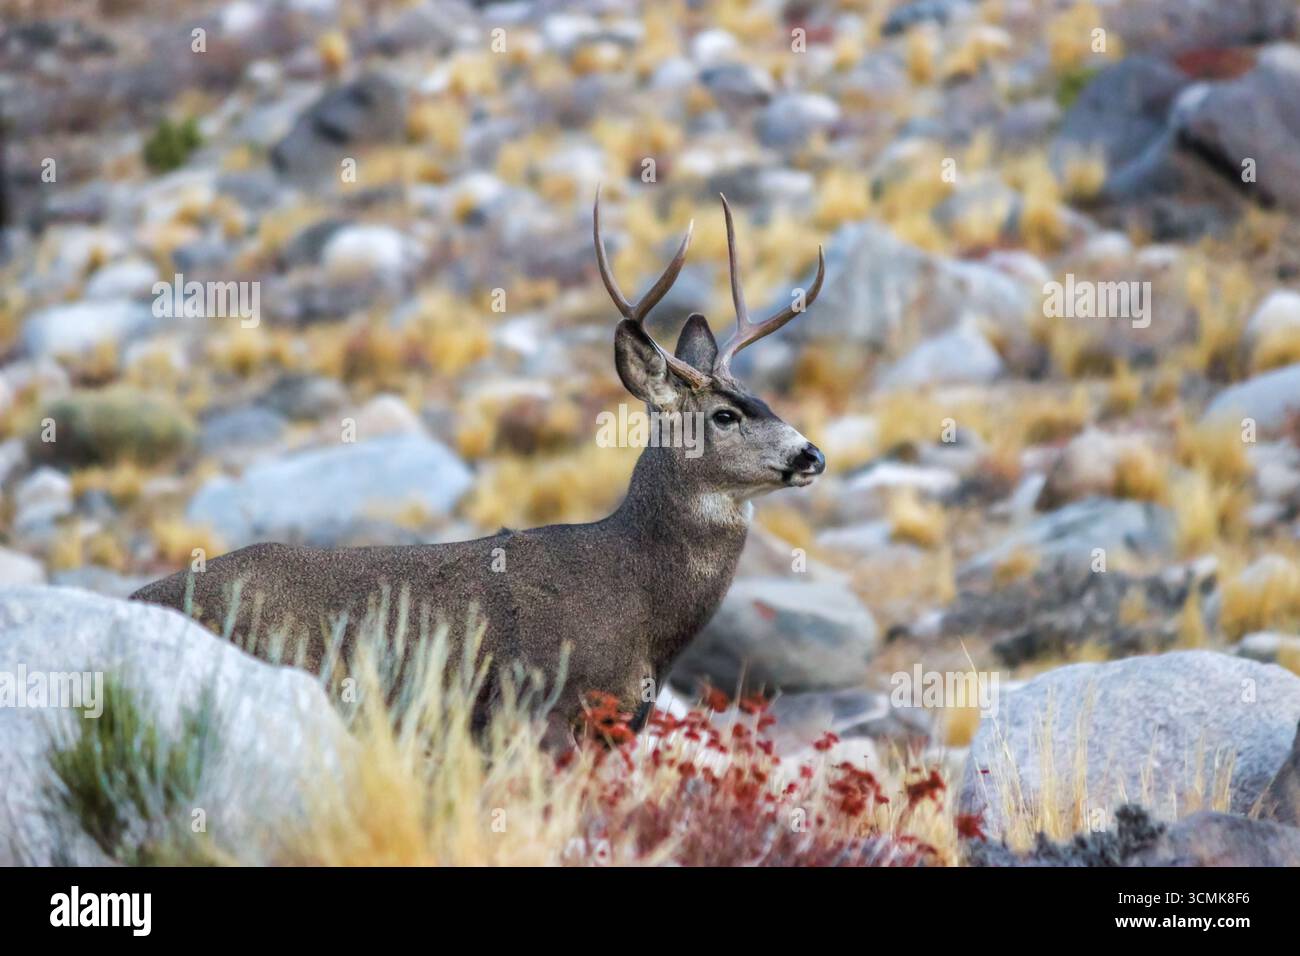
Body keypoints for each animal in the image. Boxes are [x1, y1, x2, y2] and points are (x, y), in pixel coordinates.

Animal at [132, 191, 827, 749]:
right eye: (724, 416)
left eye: (765, 401)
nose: (811, 455)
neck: (638, 599)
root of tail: (134, 598)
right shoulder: (537, 709)